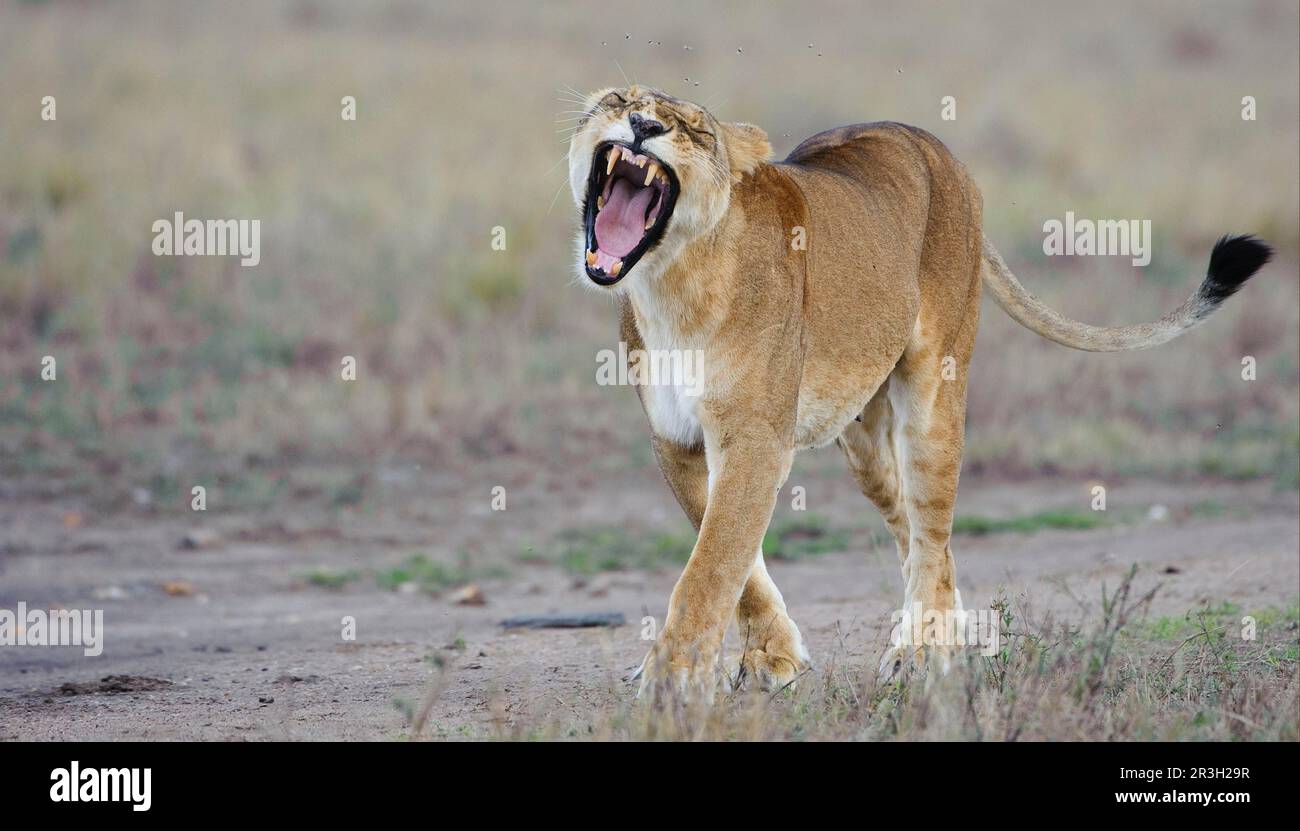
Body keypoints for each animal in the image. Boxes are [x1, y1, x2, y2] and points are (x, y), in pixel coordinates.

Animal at [566, 85, 1272, 698]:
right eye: (621, 100)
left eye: (695, 130)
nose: (642, 126)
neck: (671, 279)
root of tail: (935, 145)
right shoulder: (676, 441)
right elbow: (733, 564)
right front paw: (773, 658)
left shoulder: (754, 440)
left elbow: (712, 564)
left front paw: (673, 678)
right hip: (863, 439)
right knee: (912, 527)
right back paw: (950, 636)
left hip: (933, 394)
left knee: (932, 529)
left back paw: (920, 652)